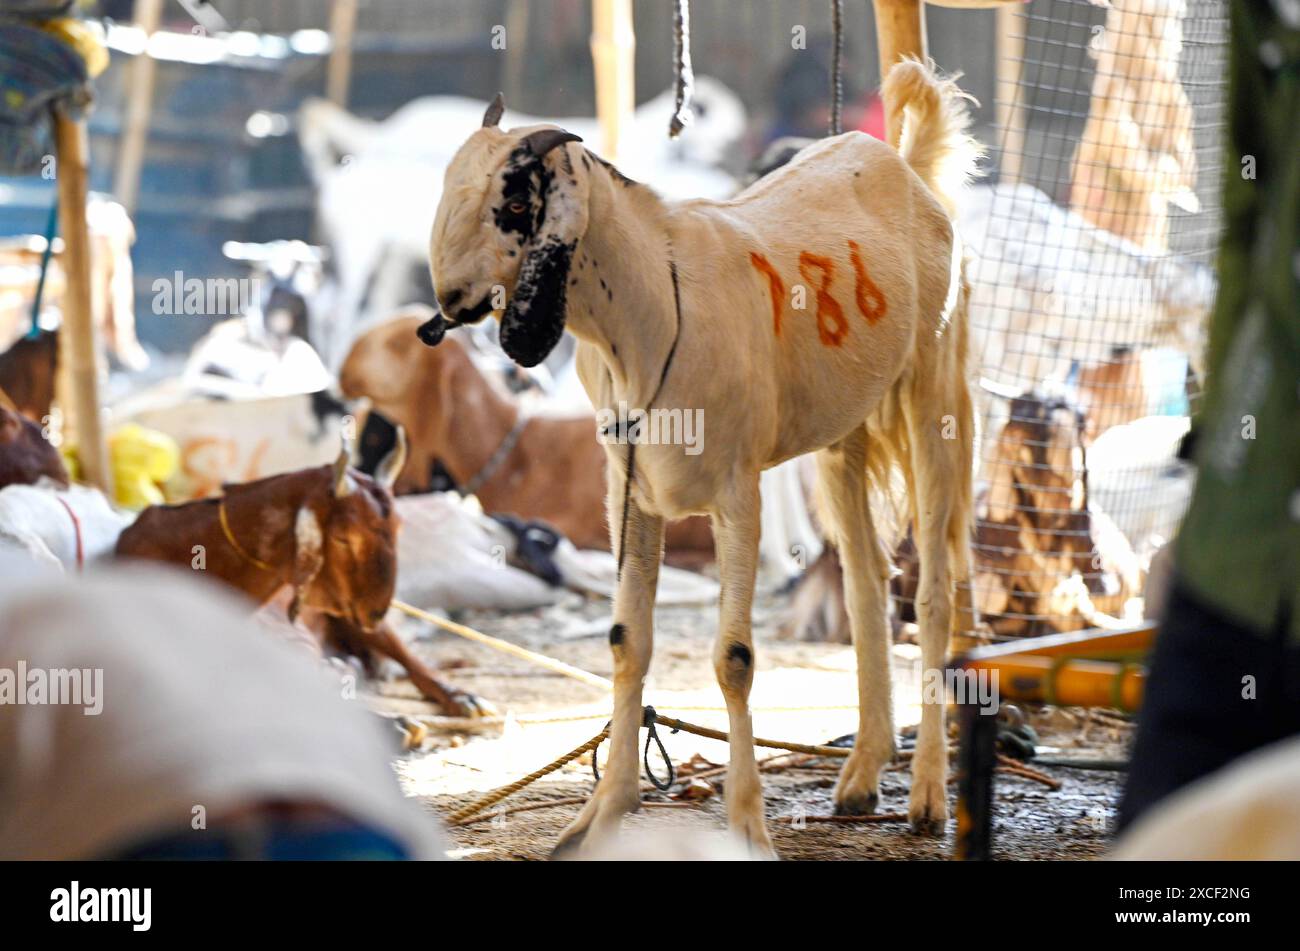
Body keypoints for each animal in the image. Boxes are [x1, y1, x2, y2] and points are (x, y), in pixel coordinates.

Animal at [420, 59, 980, 855]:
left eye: (516, 198)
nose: (450, 300)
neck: (656, 303)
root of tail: (906, 164)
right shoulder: (630, 492)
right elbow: (627, 640)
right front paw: (603, 813)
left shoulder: (736, 493)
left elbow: (735, 657)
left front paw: (748, 824)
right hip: (845, 436)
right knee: (868, 580)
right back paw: (862, 775)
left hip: (933, 395)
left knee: (933, 589)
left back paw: (929, 794)